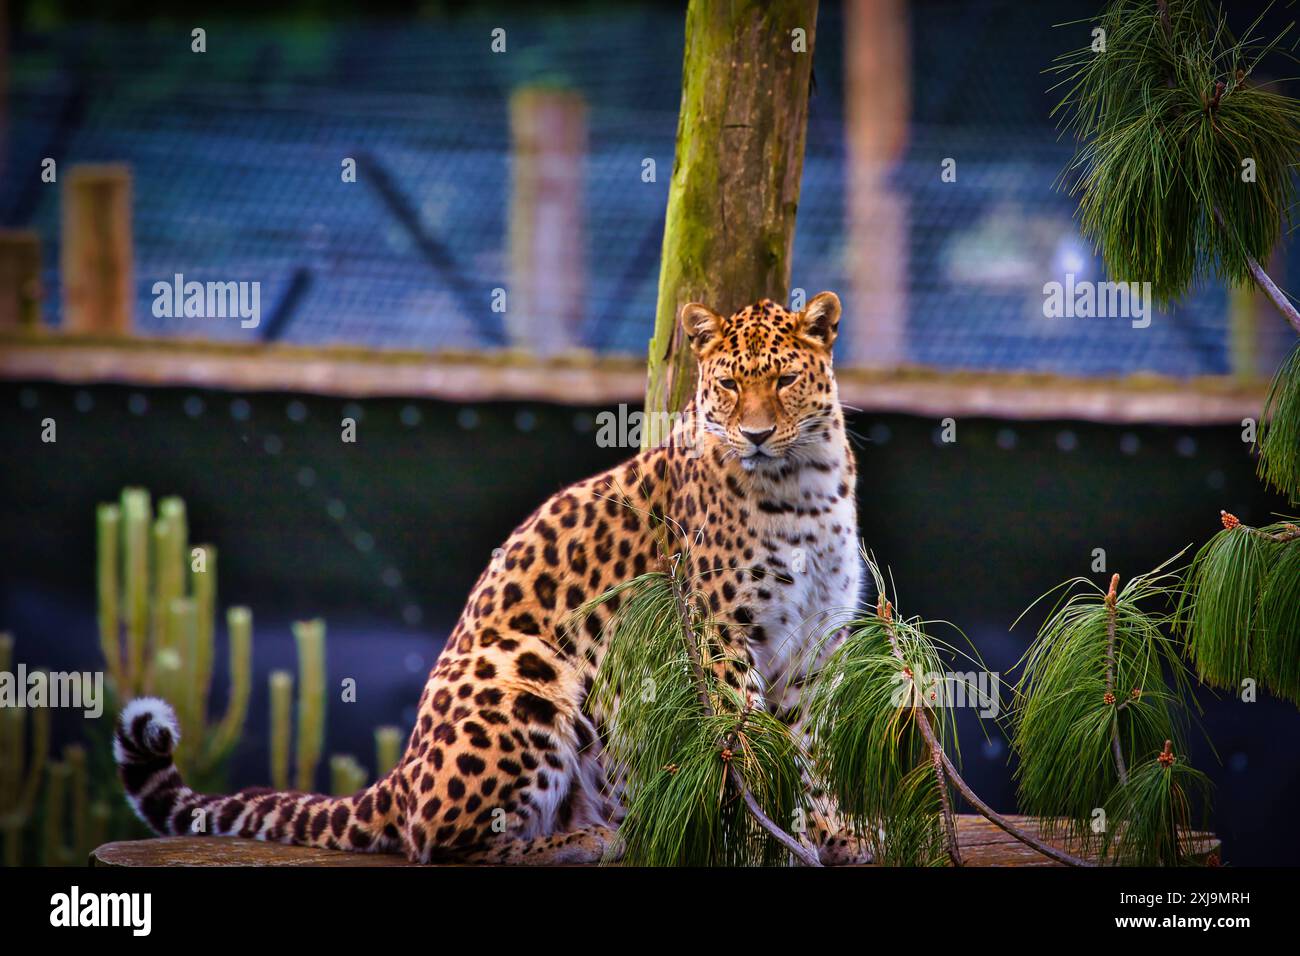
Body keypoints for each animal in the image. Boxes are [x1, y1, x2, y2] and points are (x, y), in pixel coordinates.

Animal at [115, 291, 868, 865]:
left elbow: (810, 743)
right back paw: (585, 843)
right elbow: (749, 745)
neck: (802, 486)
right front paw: (763, 842)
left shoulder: (815, 640)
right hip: (529, 673)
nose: (758, 435)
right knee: (439, 843)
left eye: (785, 381)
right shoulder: (720, 633)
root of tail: (403, 774)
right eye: (731, 385)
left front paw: (830, 832)